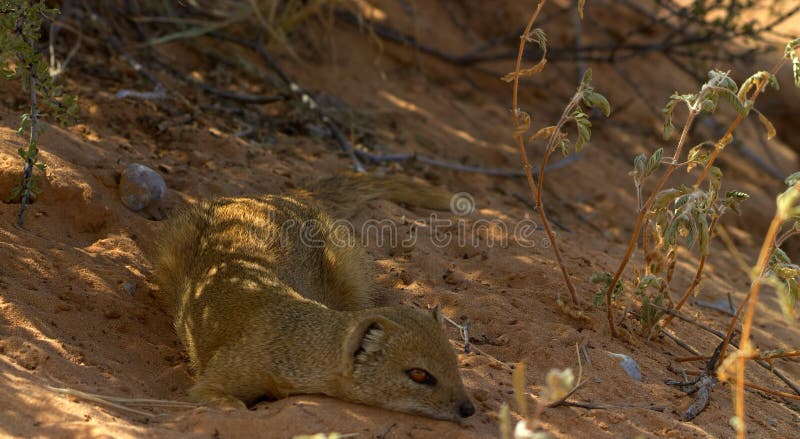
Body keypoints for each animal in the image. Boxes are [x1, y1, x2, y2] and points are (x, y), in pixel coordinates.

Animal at [145, 173, 476, 421]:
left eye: (455, 363)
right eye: (419, 374)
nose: (468, 408)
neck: (291, 338)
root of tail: (275, 196)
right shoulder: (230, 366)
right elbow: (208, 393)